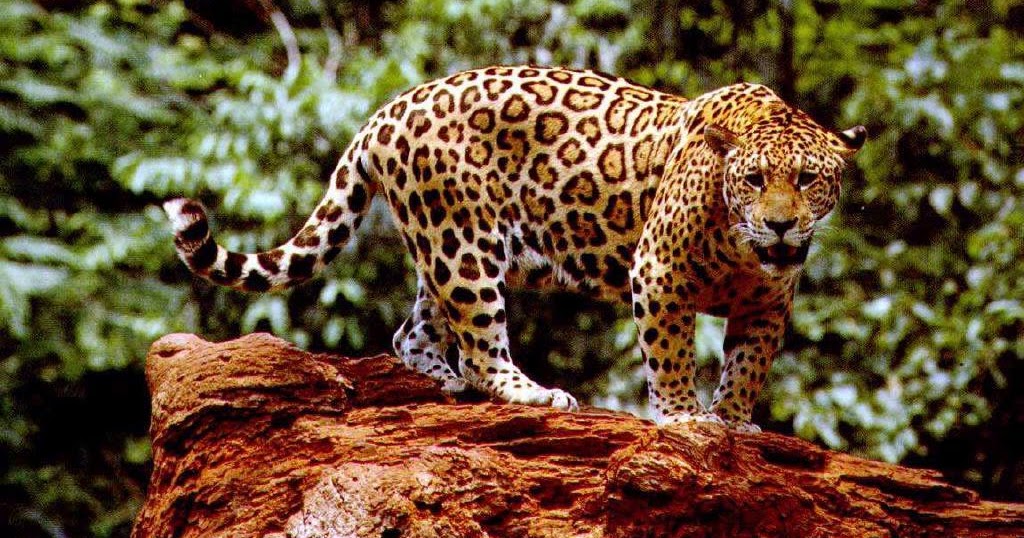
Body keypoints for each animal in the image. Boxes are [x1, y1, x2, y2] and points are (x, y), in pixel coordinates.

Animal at [164, 65, 865, 432]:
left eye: (807, 179)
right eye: (754, 180)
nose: (781, 226)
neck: (743, 246)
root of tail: (388, 109)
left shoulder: (767, 302)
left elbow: (748, 364)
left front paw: (736, 419)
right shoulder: (658, 272)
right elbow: (670, 354)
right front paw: (683, 418)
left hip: (444, 246)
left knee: (412, 333)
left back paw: (444, 383)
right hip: (464, 245)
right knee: (480, 347)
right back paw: (530, 392)